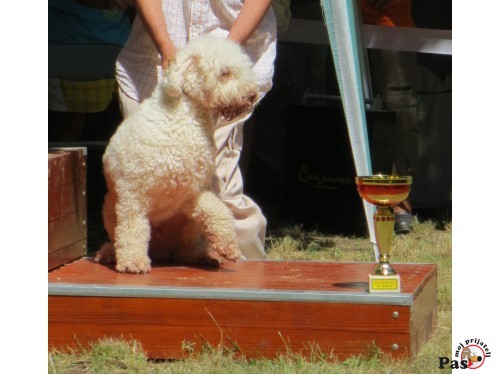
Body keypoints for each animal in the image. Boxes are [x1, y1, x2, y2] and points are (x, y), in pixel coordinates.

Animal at [95, 36, 258, 274]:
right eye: (224, 73)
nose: (253, 95)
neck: (183, 121)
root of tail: (162, 251)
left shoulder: (192, 192)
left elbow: (218, 212)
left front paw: (228, 245)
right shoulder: (133, 193)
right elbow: (132, 229)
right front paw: (133, 262)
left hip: (187, 228)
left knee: (186, 251)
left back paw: (204, 255)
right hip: (109, 210)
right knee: (117, 238)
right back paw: (108, 253)